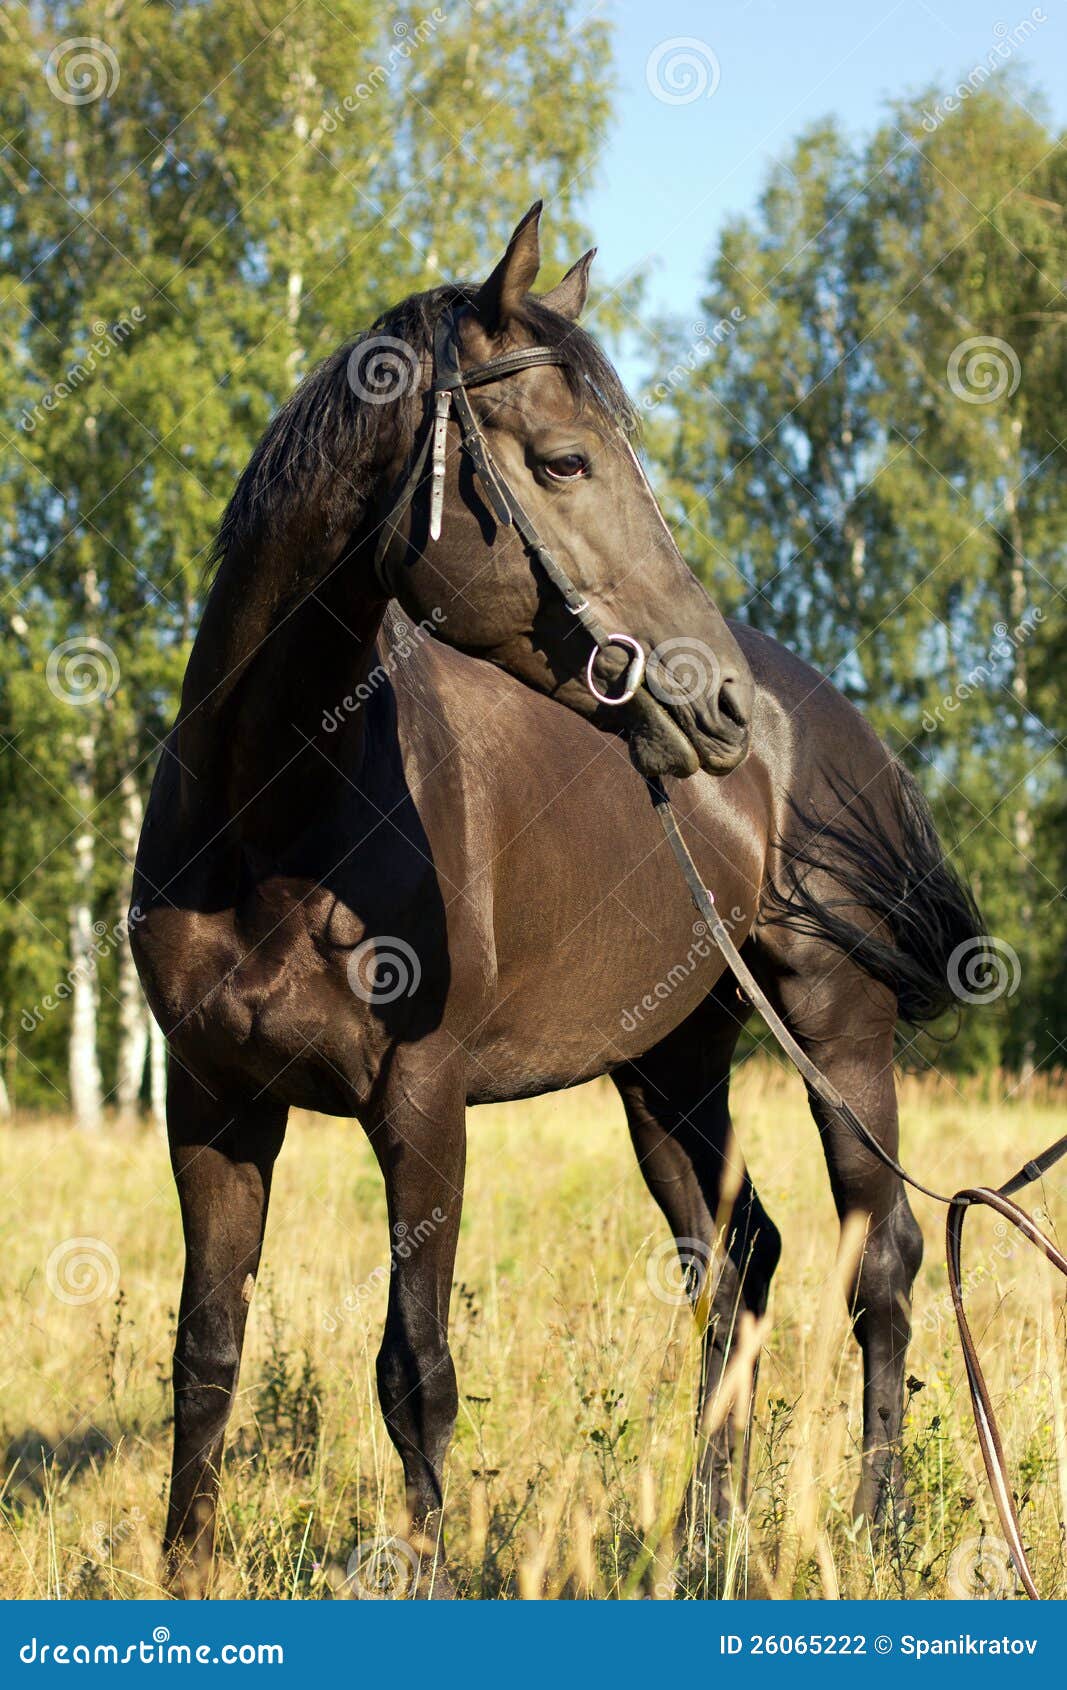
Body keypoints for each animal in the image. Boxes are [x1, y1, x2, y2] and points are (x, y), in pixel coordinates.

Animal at [131, 204, 982, 1597]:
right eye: (566, 460)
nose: (718, 704)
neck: (272, 820)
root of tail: (826, 723)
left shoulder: (420, 1107)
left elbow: (412, 1375)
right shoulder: (211, 1103)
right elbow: (206, 1352)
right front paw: (183, 1577)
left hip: (836, 1035)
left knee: (884, 1265)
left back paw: (876, 1526)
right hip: (667, 1068)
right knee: (736, 1268)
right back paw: (704, 1541)